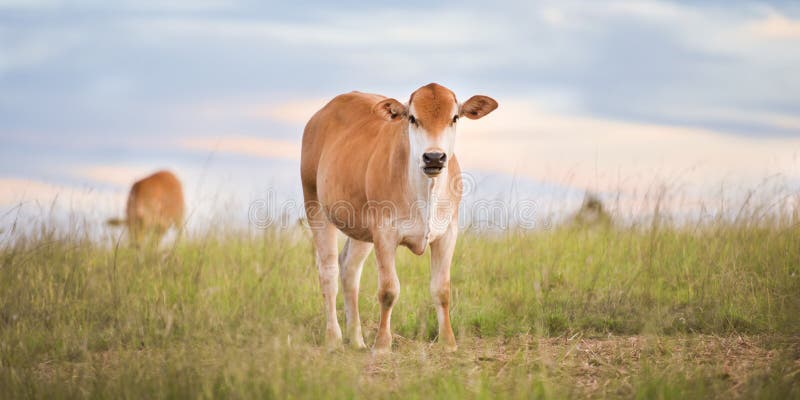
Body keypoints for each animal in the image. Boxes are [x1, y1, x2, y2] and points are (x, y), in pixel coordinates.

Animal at [300, 83, 498, 353]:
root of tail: (321, 114)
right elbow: (388, 290)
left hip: (361, 227)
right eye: (412, 118)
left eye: (454, 117)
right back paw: (334, 339)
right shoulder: (384, 233)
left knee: (349, 269)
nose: (434, 157)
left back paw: (357, 340)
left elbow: (442, 289)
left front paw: (448, 342)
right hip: (315, 206)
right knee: (328, 271)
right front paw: (383, 344)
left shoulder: (448, 233)